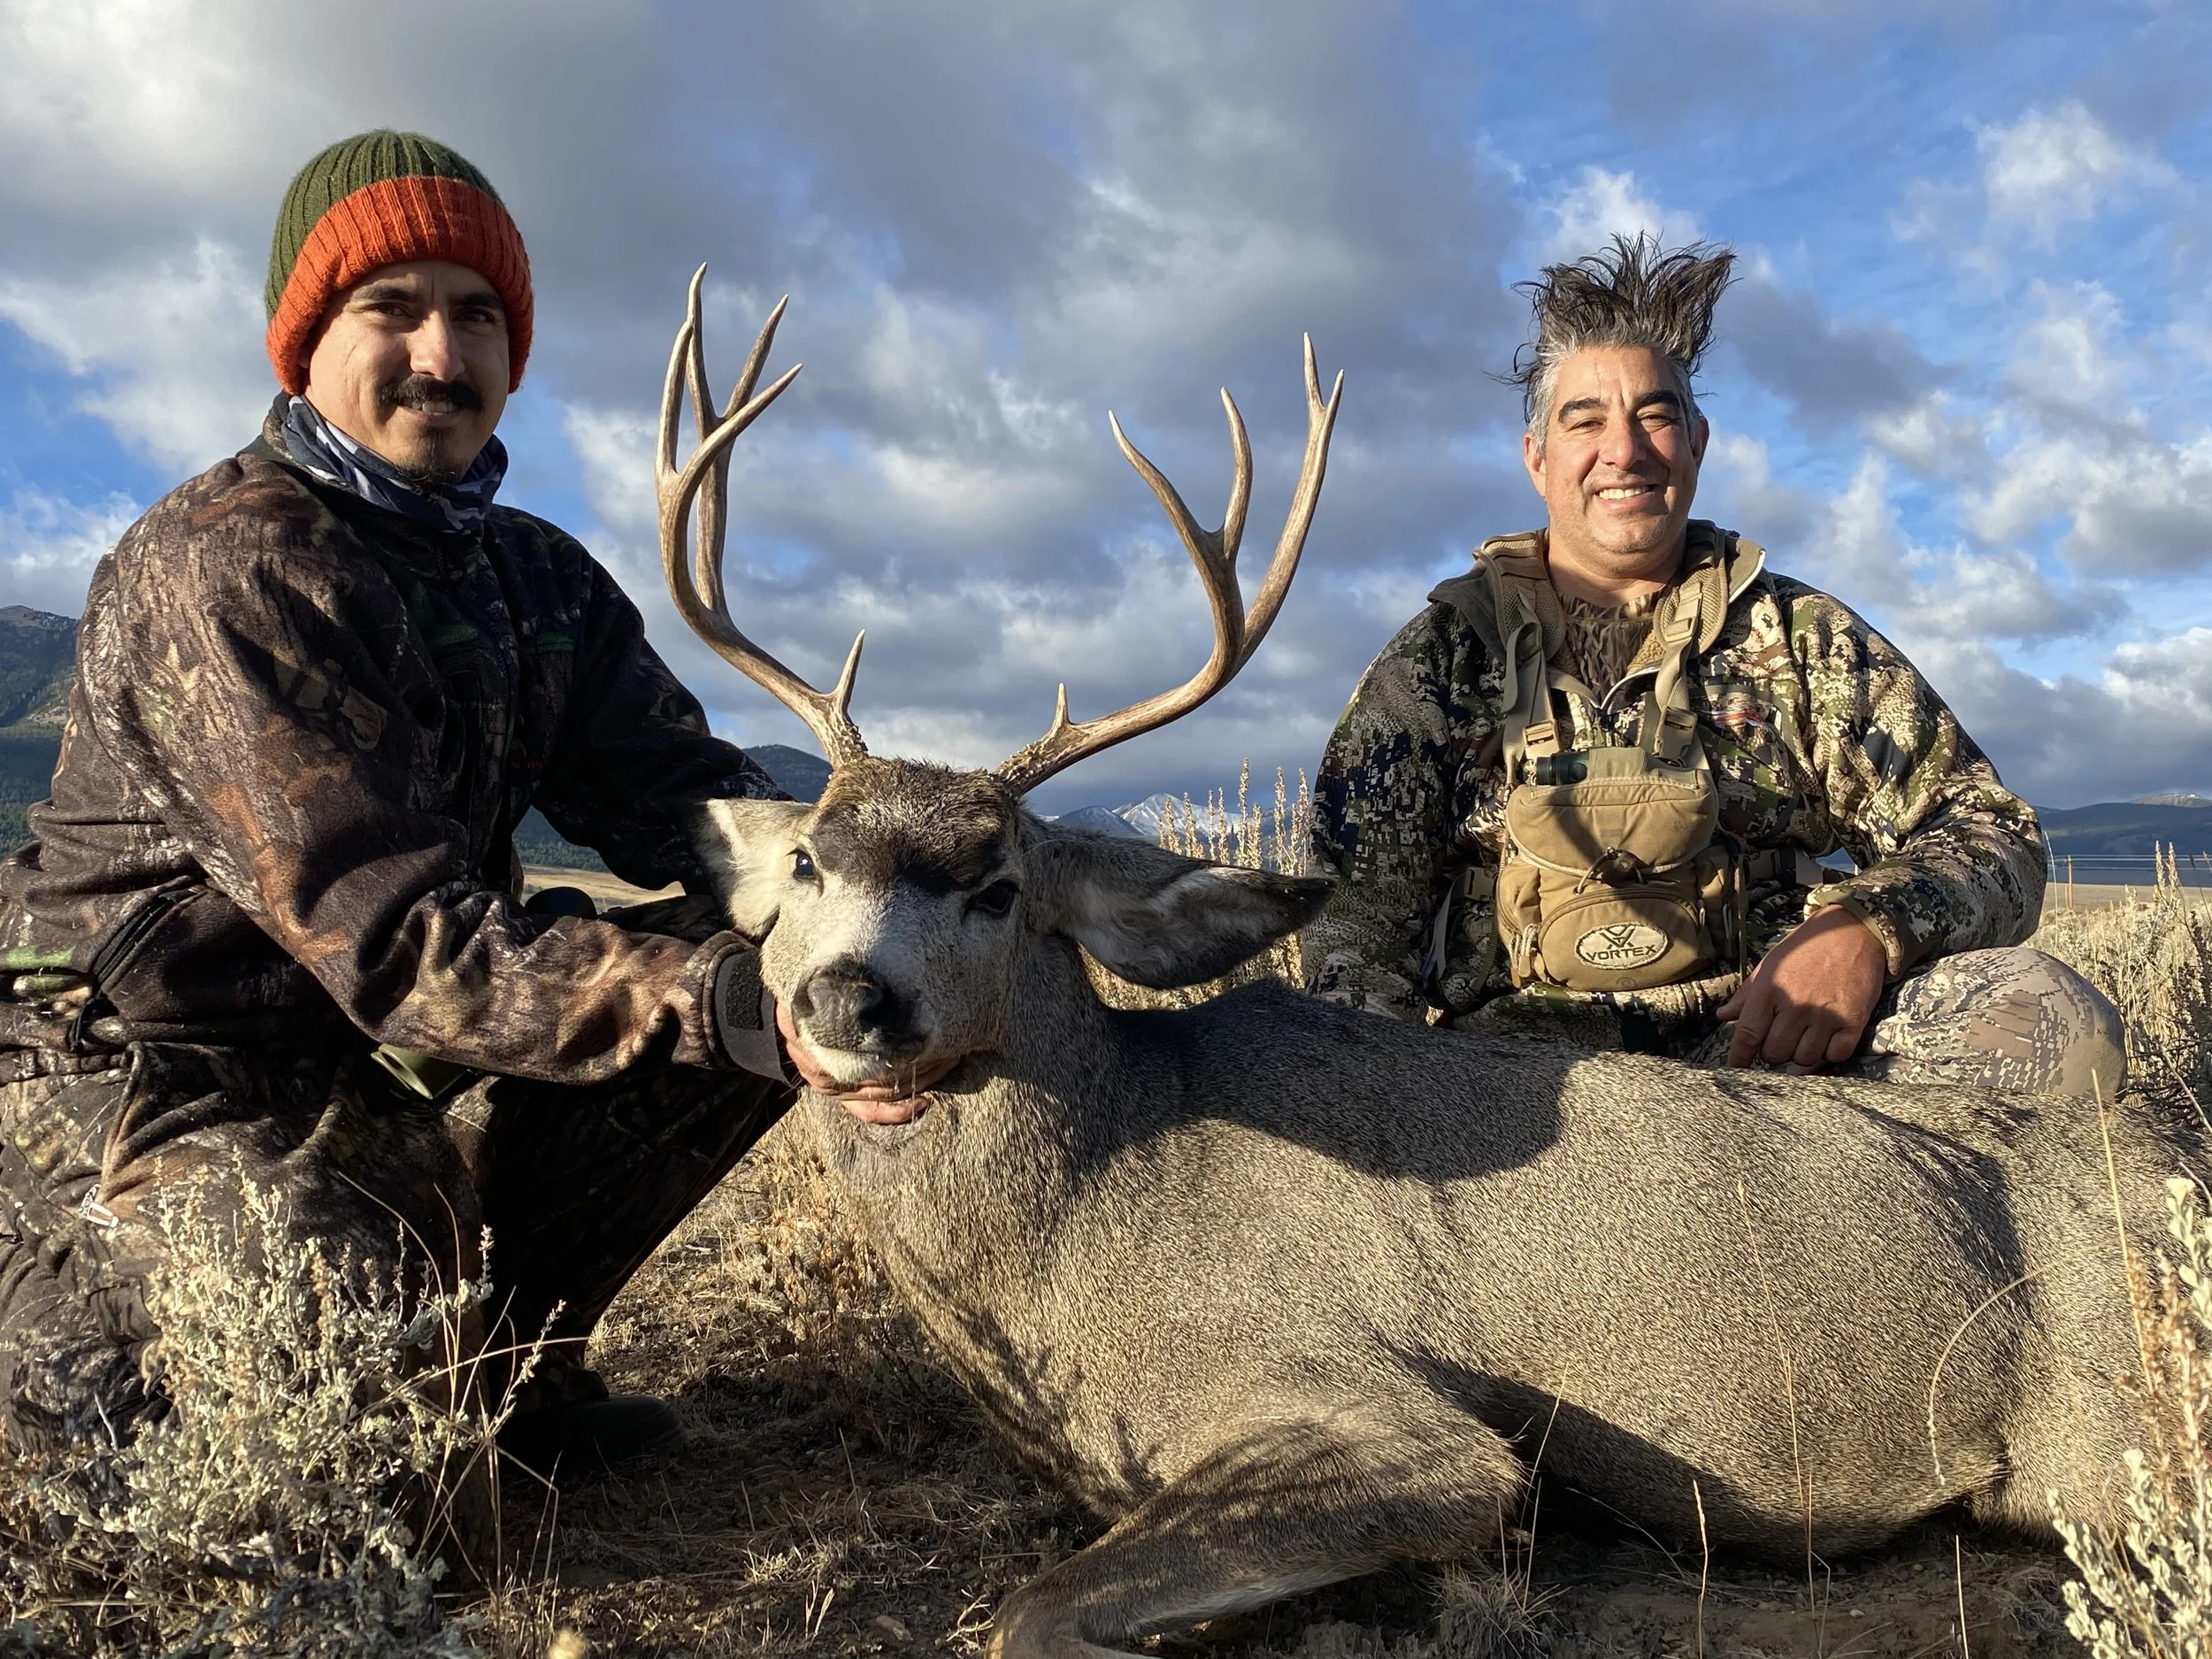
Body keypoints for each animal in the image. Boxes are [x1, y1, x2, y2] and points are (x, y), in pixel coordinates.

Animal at [653, 270, 2195, 1657]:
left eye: (998, 885)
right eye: (808, 862)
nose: (846, 1000)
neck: (1096, 1207)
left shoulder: (1393, 1420)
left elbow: (1030, 1614)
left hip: (2113, 1436)